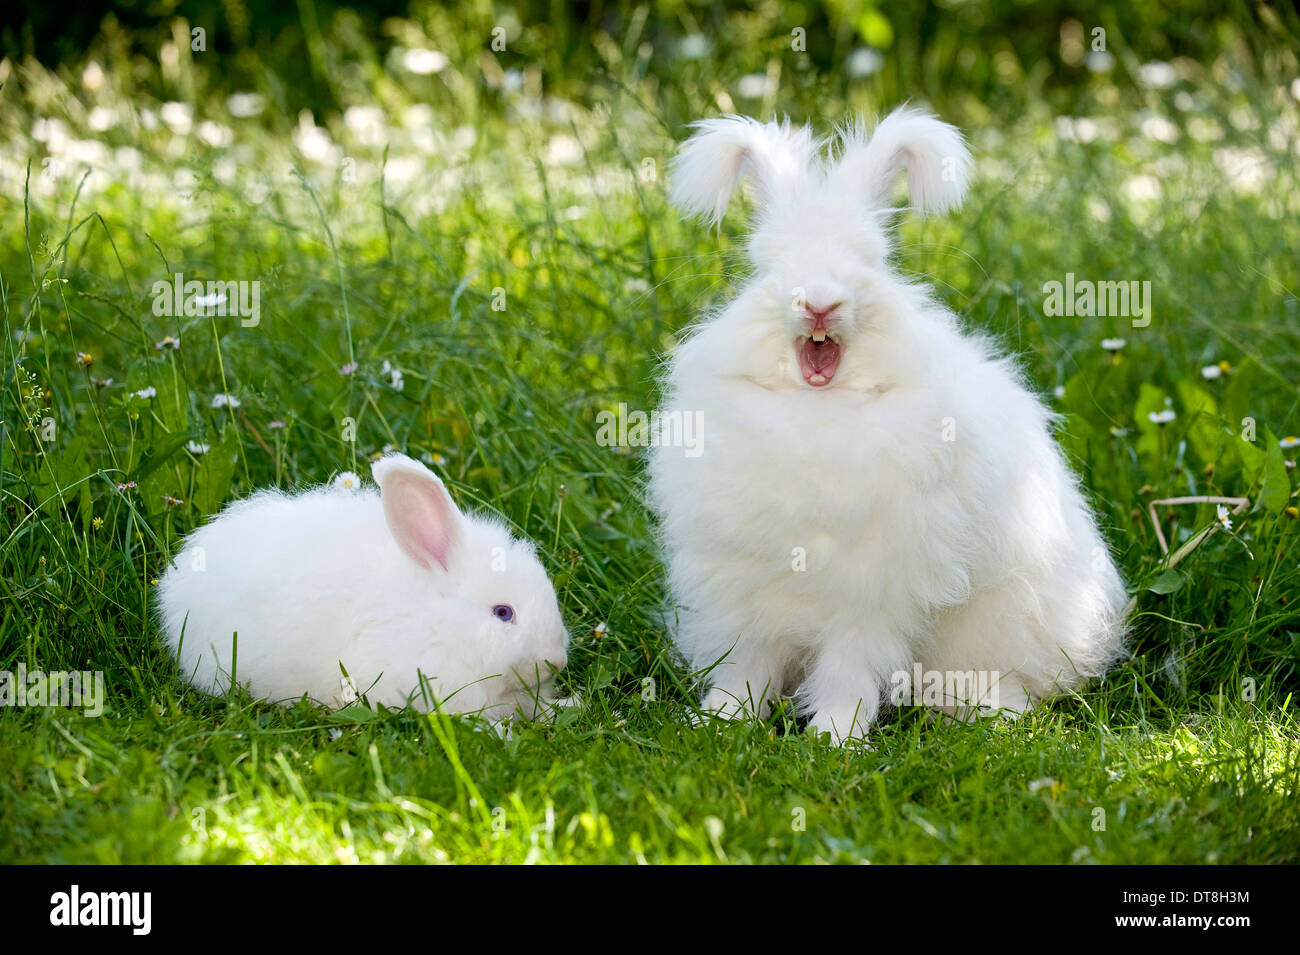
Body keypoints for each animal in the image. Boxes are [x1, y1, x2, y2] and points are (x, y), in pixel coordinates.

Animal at [648, 108, 1129, 742]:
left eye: (869, 260)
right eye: (768, 265)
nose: (820, 304)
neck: (818, 408)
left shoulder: (871, 596)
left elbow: (848, 670)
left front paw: (835, 738)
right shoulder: (747, 591)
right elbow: (747, 665)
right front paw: (719, 722)